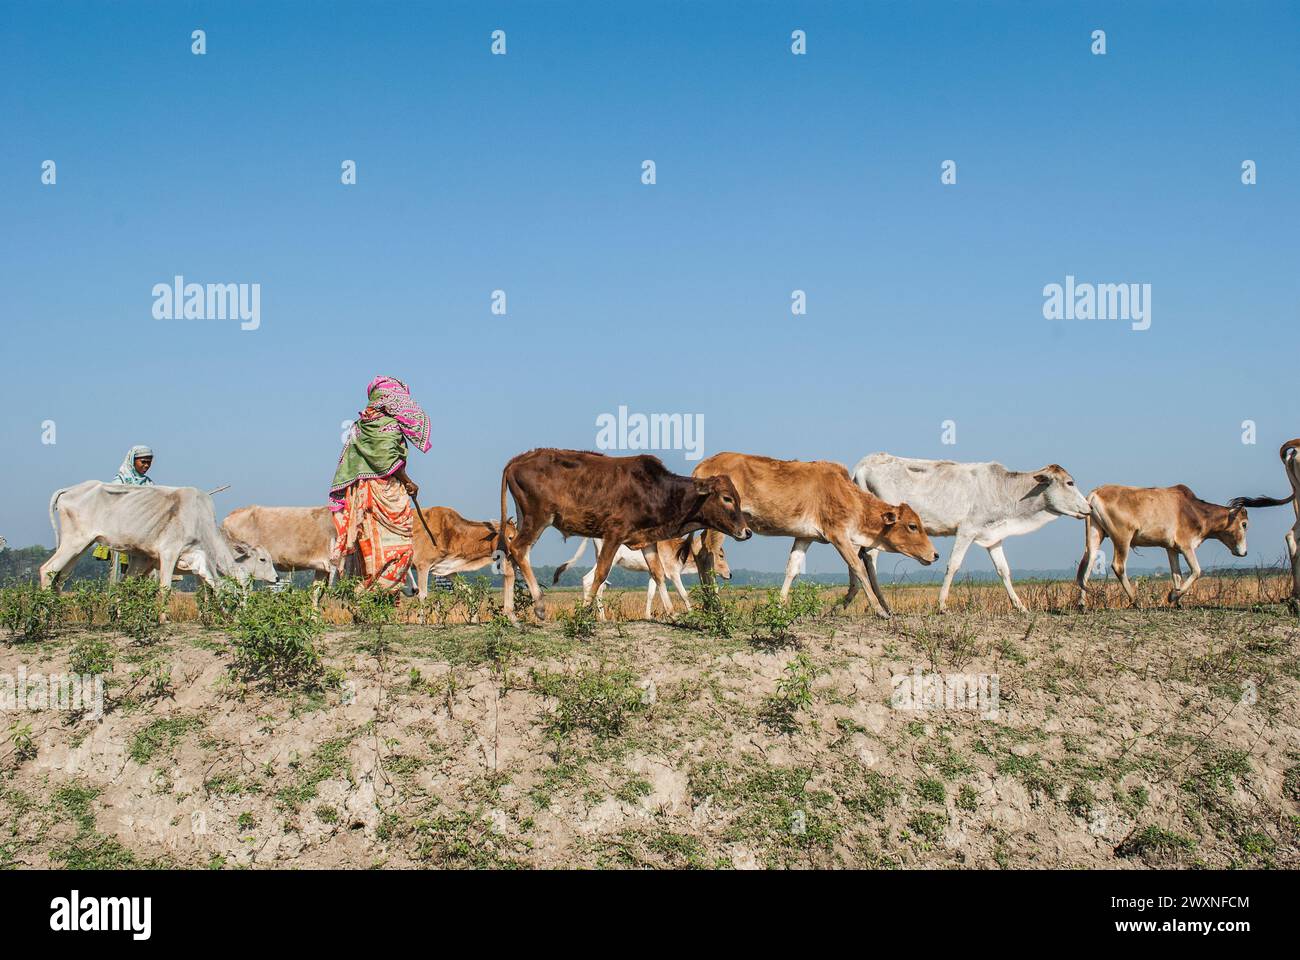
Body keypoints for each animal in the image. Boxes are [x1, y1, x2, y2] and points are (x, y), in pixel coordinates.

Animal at [39, 481, 277, 591]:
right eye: (263, 559)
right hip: (74, 543)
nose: (276, 578)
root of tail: (69, 490)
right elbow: (166, 587)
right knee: (47, 570)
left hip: (80, 548)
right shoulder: (169, 553)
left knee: (61, 576)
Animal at [550, 533, 733, 619]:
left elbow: (651, 593)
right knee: (591, 580)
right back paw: (598, 616)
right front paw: (691, 613)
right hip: (610, 559)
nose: (730, 574)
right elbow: (684, 594)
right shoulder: (673, 573)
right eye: (721, 555)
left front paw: (647, 616)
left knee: (596, 584)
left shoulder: (654, 574)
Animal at [692, 453, 939, 619]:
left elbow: (792, 568)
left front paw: (779, 606)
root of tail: (702, 465)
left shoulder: (805, 537)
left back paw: (709, 604)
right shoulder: (838, 534)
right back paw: (715, 605)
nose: (935, 554)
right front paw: (880, 610)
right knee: (708, 555)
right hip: (719, 526)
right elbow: (858, 569)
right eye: (912, 526)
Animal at [851, 454, 1091, 614]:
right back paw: (880, 604)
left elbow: (1004, 570)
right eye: (1070, 482)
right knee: (868, 556)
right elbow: (953, 565)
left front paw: (1020, 606)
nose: (1089, 507)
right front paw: (942, 605)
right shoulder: (967, 530)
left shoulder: (993, 536)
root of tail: (863, 465)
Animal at [1076, 484, 1248, 607]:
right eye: (1244, 524)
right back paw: (1135, 601)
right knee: (1118, 566)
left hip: (1095, 535)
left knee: (1088, 564)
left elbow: (1176, 574)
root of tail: (1096, 493)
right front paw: (1173, 596)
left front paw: (1178, 603)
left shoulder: (1171, 549)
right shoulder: (1186, 546)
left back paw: (1082, 604)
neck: (1192, 508)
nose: (1244, 552)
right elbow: (1197, 571)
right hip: (1122, 539)